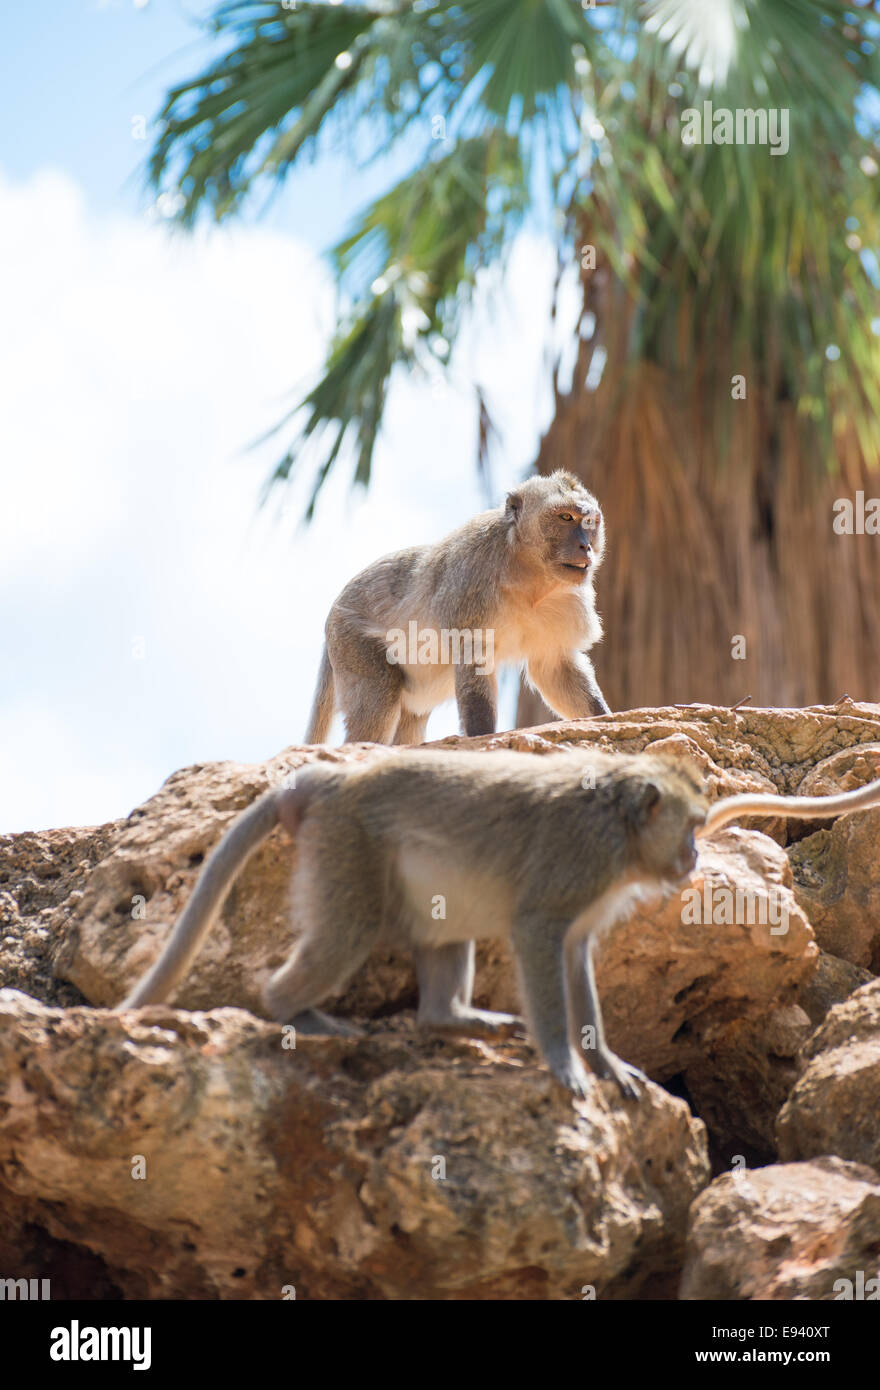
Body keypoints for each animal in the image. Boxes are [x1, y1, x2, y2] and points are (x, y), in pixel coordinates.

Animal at [120, 750, 708, 1100]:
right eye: (693, 826)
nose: (695, 854)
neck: (622, 828)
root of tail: (333, 781)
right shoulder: (582, 859)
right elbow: (538, 933)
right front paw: (563, 1064)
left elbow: (574, 951)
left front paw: (603, 1062)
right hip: (345, 846)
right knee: (346, 934)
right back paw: (294, 1012)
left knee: (445, 925)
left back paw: (448, 1018)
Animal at [305, 471, 611, 747]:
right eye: (566, 518)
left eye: (590, 522)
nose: (585, 546)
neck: (529, 573)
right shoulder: (472, 583)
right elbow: (473, 658)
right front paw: (481, 737)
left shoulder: (570, 600)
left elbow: (554, 666)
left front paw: (603, 716)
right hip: (350, 639)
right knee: (378, 701)